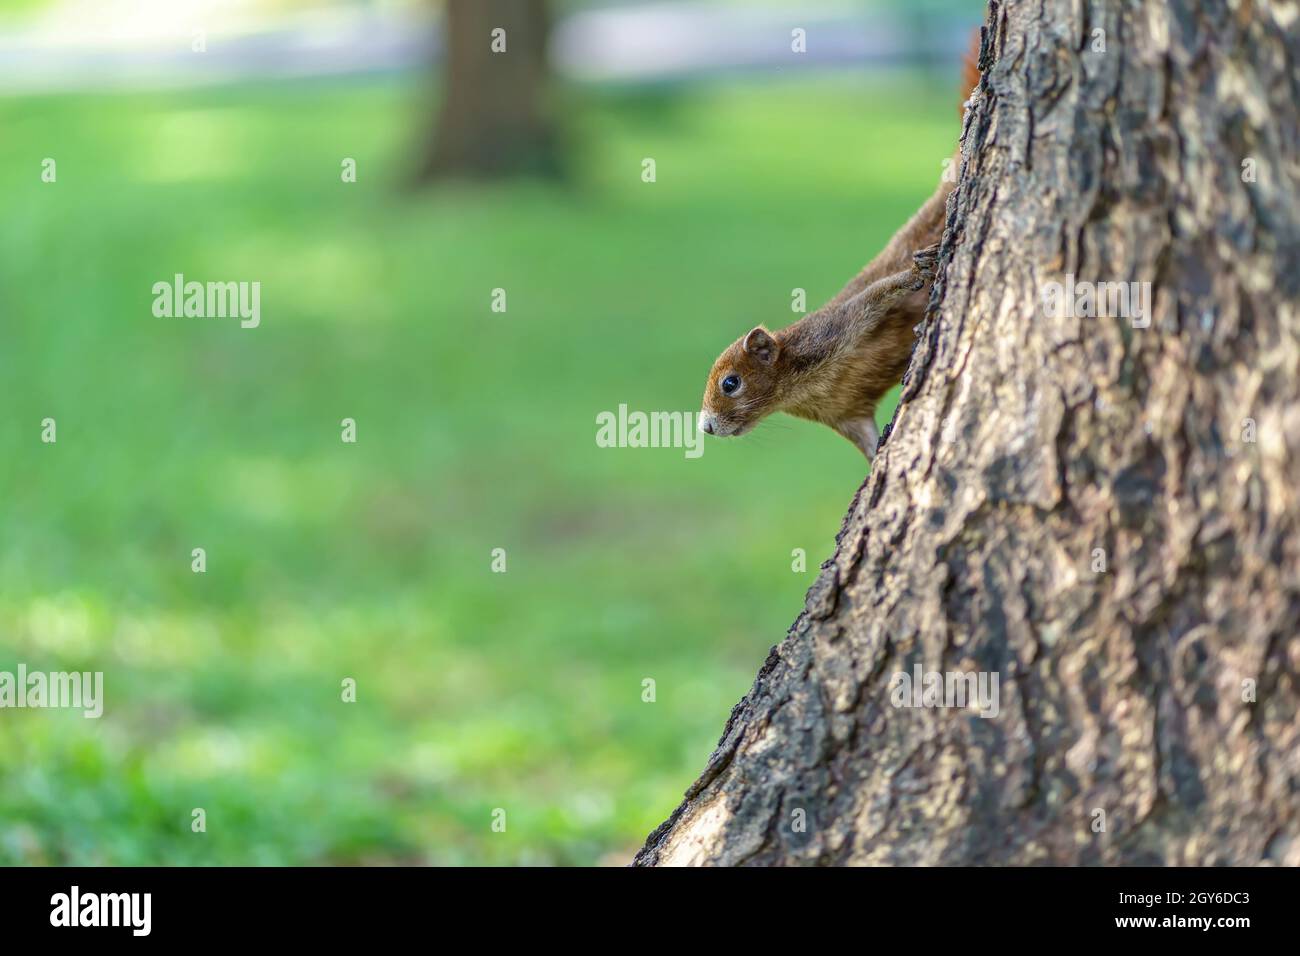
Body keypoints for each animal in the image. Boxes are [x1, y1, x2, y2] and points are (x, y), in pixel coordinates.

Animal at [697, 53, 980, 462]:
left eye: (730, 383)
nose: (706, 427)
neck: (799, 388)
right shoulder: (846, 415)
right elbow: (867, 441)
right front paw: (875, 462)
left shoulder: (838, 329)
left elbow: (878, 294)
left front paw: (916, 271)